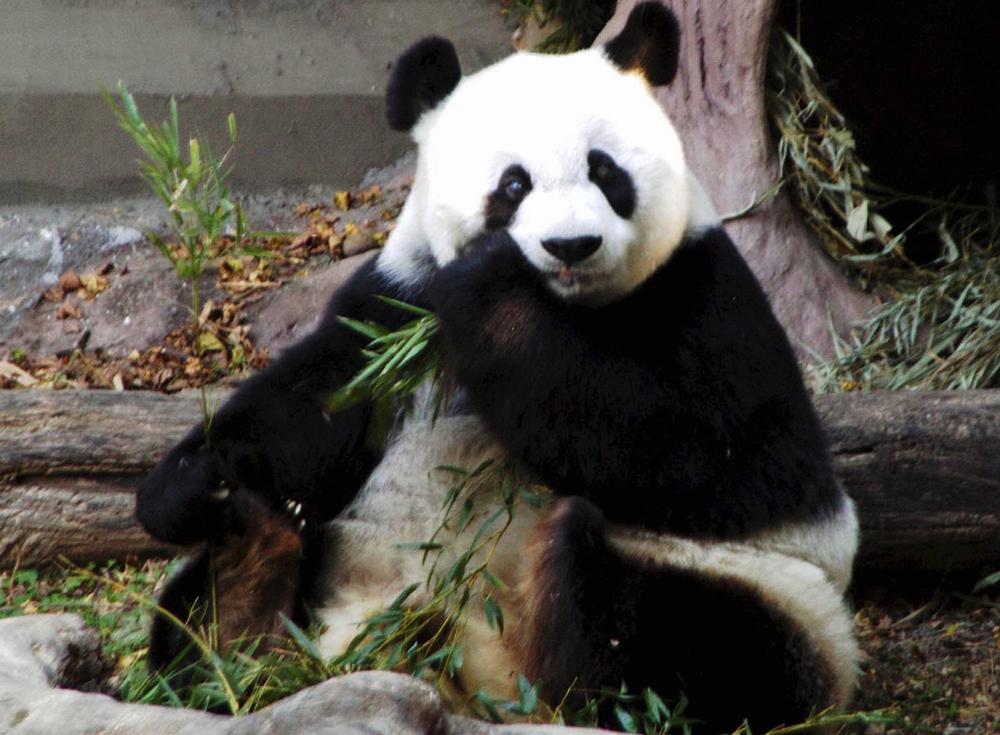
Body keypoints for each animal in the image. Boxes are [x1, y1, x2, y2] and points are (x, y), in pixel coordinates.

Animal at [136, 4, 859, 732]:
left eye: (606, 172)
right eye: (514, 185)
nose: (571, 245)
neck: (567, 305)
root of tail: (469, 666)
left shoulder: (707, 299)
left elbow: (702, 451)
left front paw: (496, 286)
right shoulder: (401, 301)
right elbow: (319, 399)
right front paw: (196, 482)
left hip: (775, 600)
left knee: (683, 640)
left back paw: (570, 663)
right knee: (196, 629)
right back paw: (246, 570)